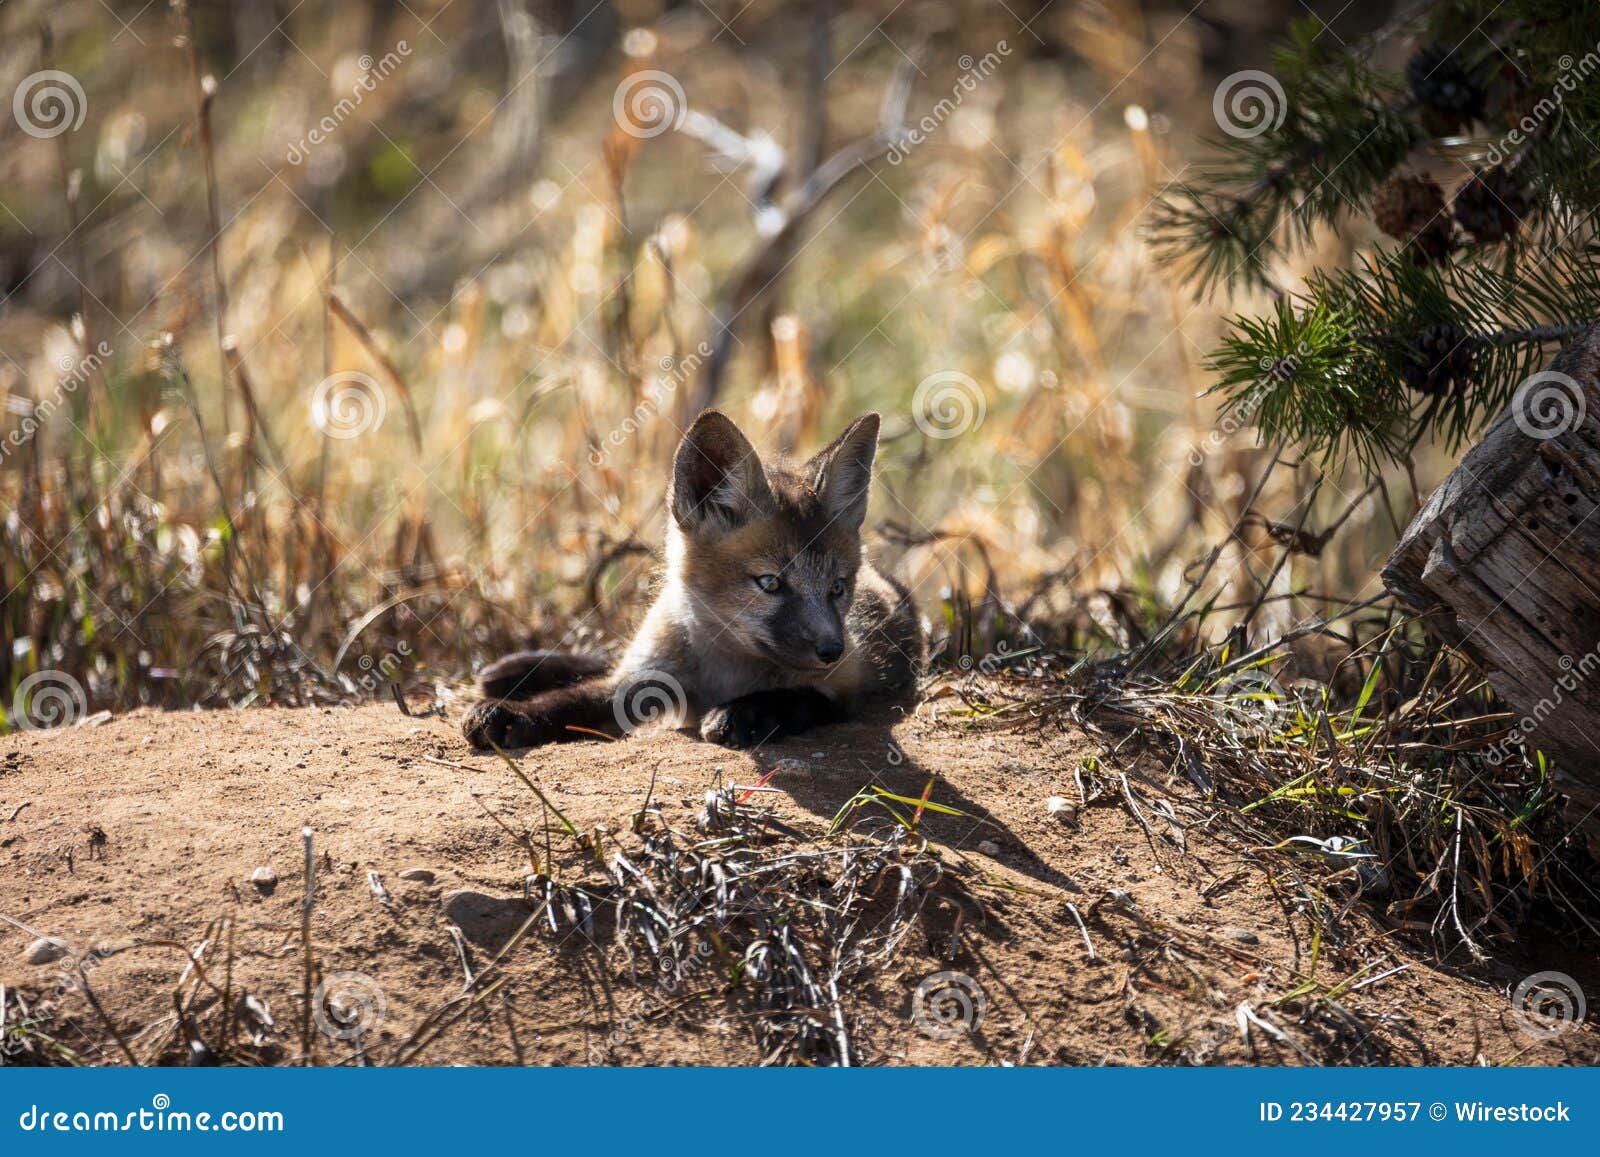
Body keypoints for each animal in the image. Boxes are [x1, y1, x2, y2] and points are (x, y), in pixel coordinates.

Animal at [462, 409, 924, 750]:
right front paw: (516, 713)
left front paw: (744, 713)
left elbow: (800, 698)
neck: (724, 671)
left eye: (837, 588)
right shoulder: (639, 679)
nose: (832, 649)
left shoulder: (847, 685)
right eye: (770, 583)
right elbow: (572, 699)